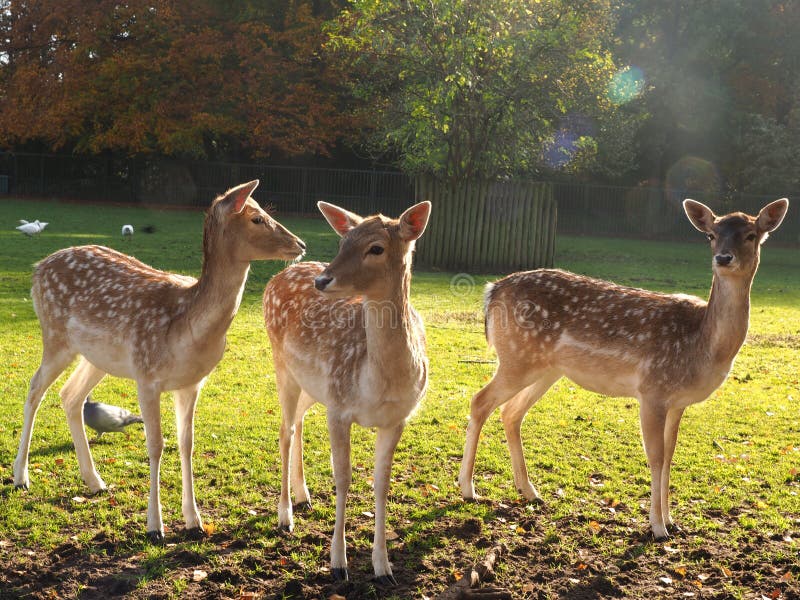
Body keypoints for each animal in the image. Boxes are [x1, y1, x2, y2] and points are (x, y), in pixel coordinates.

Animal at [13, 180, 306, 542]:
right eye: (257, 218)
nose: (300, 244)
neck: (188, 328)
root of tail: (37, 269)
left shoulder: (192, 384)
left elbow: (186, 444)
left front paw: (194, 520)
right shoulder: (147, 376)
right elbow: (155, 445)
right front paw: (155, 526)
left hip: (96, 357)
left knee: (70, 395)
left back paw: (95, 481)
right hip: (55, 337)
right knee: (34, 388)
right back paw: (21, 477)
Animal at [262, 200, 431, 585]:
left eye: (376, 248)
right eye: (343, 242)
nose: (322, 280)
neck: (379, 383)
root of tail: (278, 276)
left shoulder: (397, 419)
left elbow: (381, 483)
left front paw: (383, 568)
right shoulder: (339, 409)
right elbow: (343, 478)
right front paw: (338, 564)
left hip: (314, 386)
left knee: (299, 422)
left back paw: (304, 495)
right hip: (283, 366)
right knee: (285, 429)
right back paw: (285, 515)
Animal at [459, 198, 789, 541]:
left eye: (751, 235)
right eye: (711, 235)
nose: (723, 258)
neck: (703, 347)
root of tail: (492, 291)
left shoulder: (678, 402)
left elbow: (671, 454)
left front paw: (672, 520)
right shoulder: (652, 389)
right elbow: (656, 456)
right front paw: (658, 527)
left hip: (545, 369)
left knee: (510, 412)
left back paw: (530, 492)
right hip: (516, 358)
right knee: (480, 401)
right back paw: (469, 490)